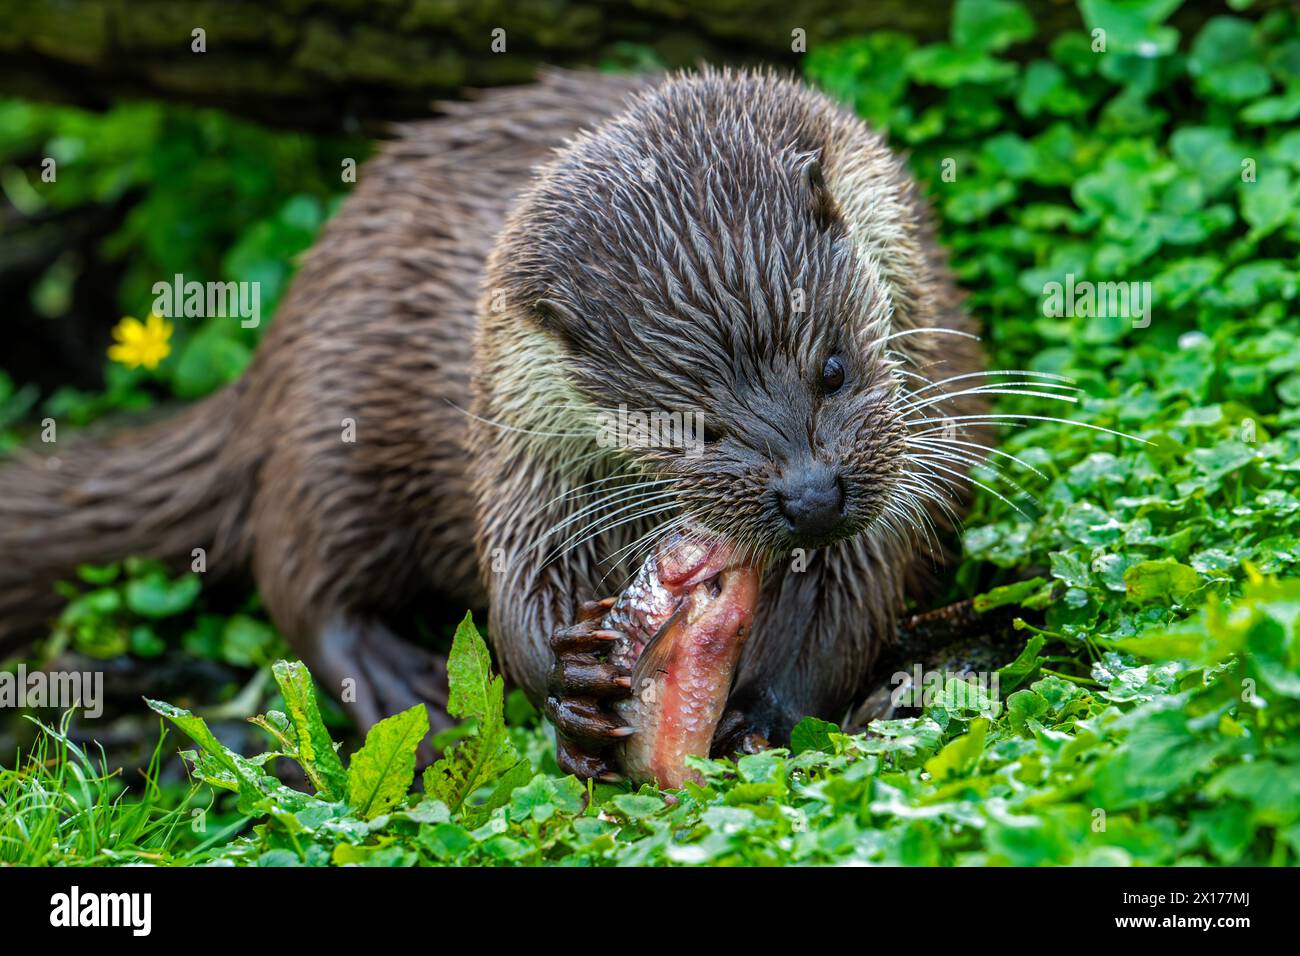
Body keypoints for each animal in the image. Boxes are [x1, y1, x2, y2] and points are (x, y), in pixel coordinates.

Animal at [0, 68, 987, 777]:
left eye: (833, 367)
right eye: (686, 427)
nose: (812, 493)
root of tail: (283, 334)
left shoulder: (929, 393)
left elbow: (855, 590)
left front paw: (765, 710)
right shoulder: (516, 424)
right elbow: (517, 577)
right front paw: (574, 676)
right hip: (335, 423)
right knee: (297, 567)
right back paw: (401, 681)